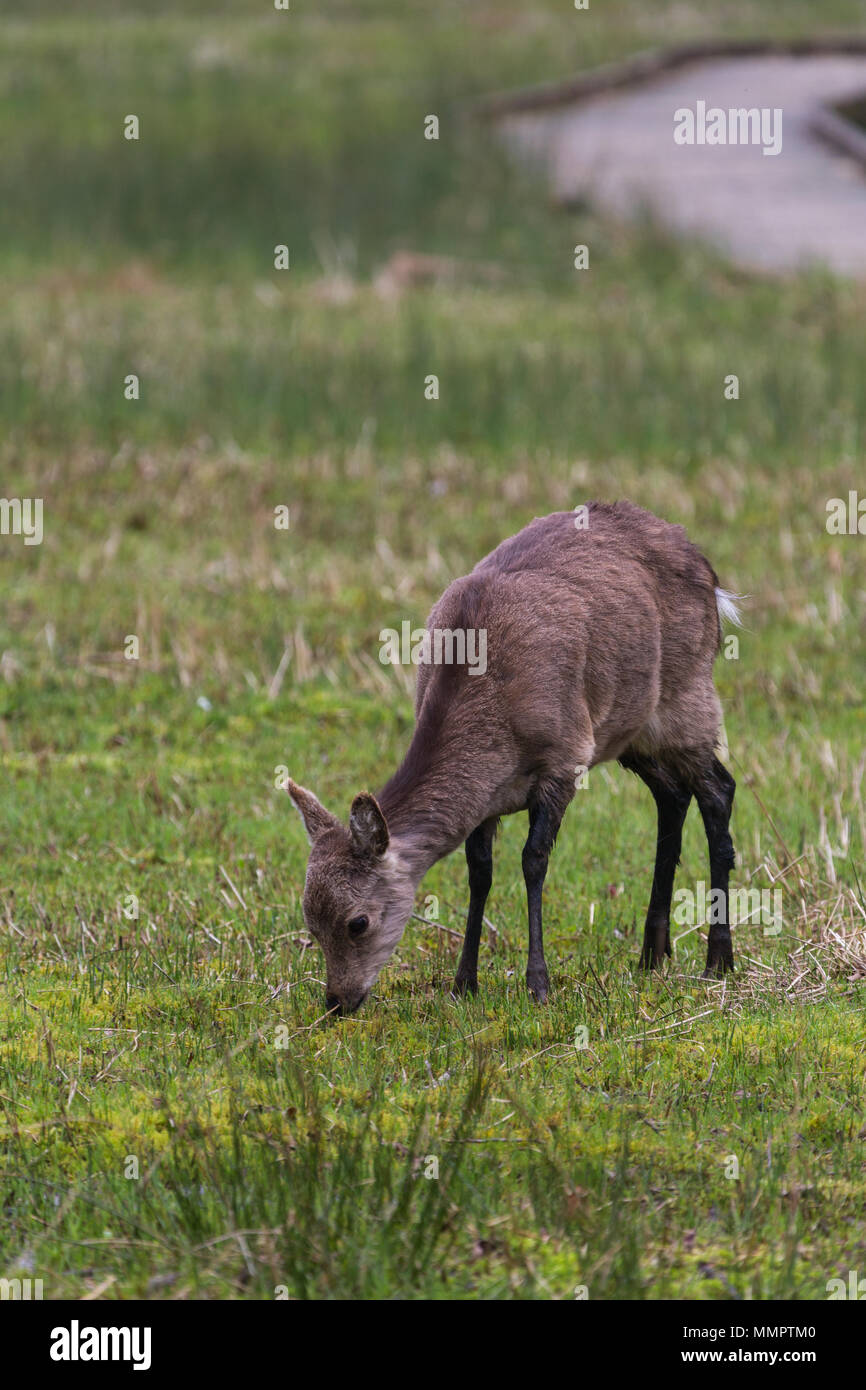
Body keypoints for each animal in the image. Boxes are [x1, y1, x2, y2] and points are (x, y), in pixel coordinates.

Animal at [288, 501, 740, 1016]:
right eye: (310, 923)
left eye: (357, 922)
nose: (337, 1000)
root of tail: (708, 571)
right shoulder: (488, 796)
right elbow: (479, 873)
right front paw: (463, 983)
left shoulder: (565, 755)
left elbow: (533, 860)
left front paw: (538, 985)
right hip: (629, 731)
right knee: (673, 795)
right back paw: (651, 954)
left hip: (688, 695)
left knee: (719, 789)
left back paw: (718, 960)